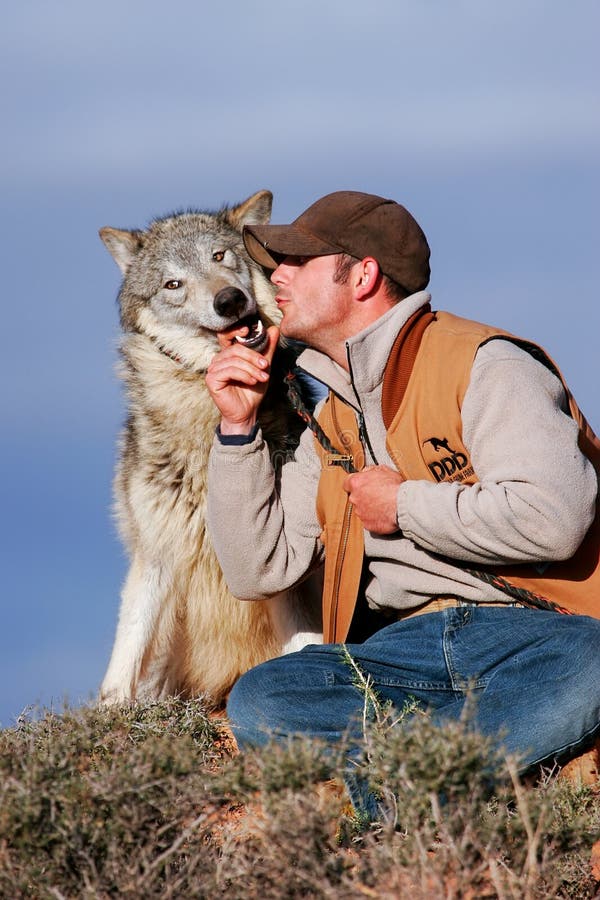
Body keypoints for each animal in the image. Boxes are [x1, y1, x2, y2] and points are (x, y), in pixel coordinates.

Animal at [99, 190, 322, 707]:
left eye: (220, 256)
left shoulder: (286, 567)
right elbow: (125, 654)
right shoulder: (157, 551)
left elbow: (308, 644)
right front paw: (112, 711)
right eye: (173, 283)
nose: (229, 300)